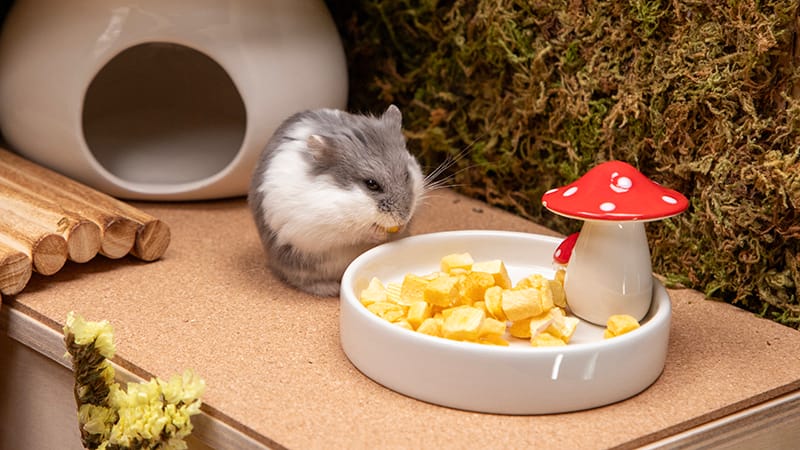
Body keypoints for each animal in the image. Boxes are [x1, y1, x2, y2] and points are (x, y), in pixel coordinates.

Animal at [248, 104, 426, 297]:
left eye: (406, 175)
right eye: (371, 184)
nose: (404, 218)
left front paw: (401, 229)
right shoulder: (325, 224)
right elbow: (356, 232)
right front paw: (379, 233)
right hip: (298, 261)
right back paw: (331, 289)